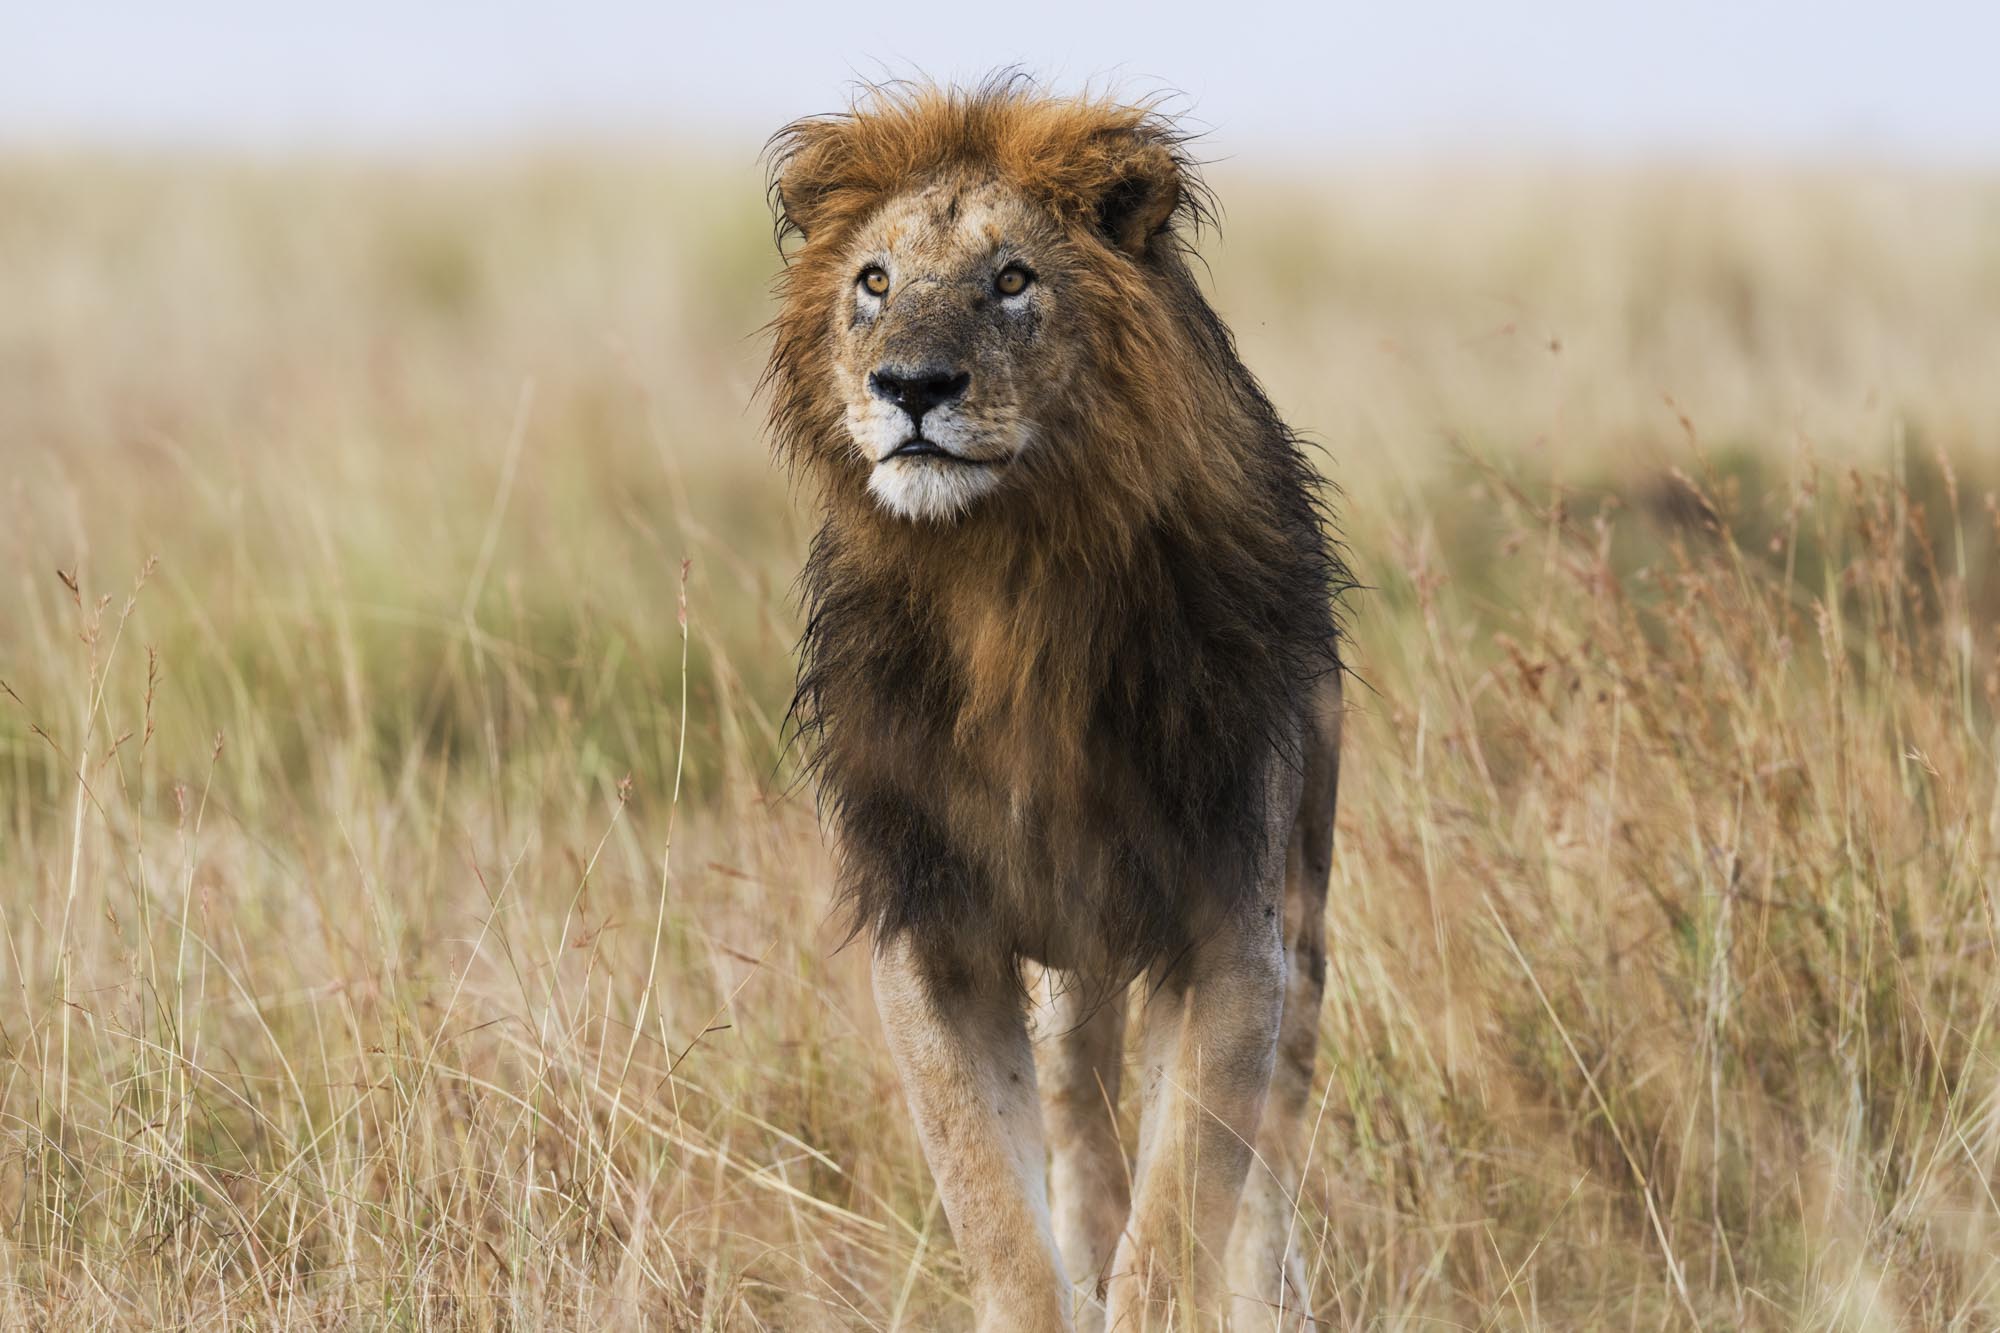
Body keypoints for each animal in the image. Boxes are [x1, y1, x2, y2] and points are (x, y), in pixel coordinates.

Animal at [764, 78, 1348, 1331]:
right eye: (873, 281)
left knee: (1270, 1160)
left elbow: (1179, 1219)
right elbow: (996, 1212)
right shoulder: (930, 931)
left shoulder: (1231, 932)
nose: (911, 387)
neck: (1008, 577)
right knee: (1081, 1123)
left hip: (1304, 903)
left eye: (1011, 279)